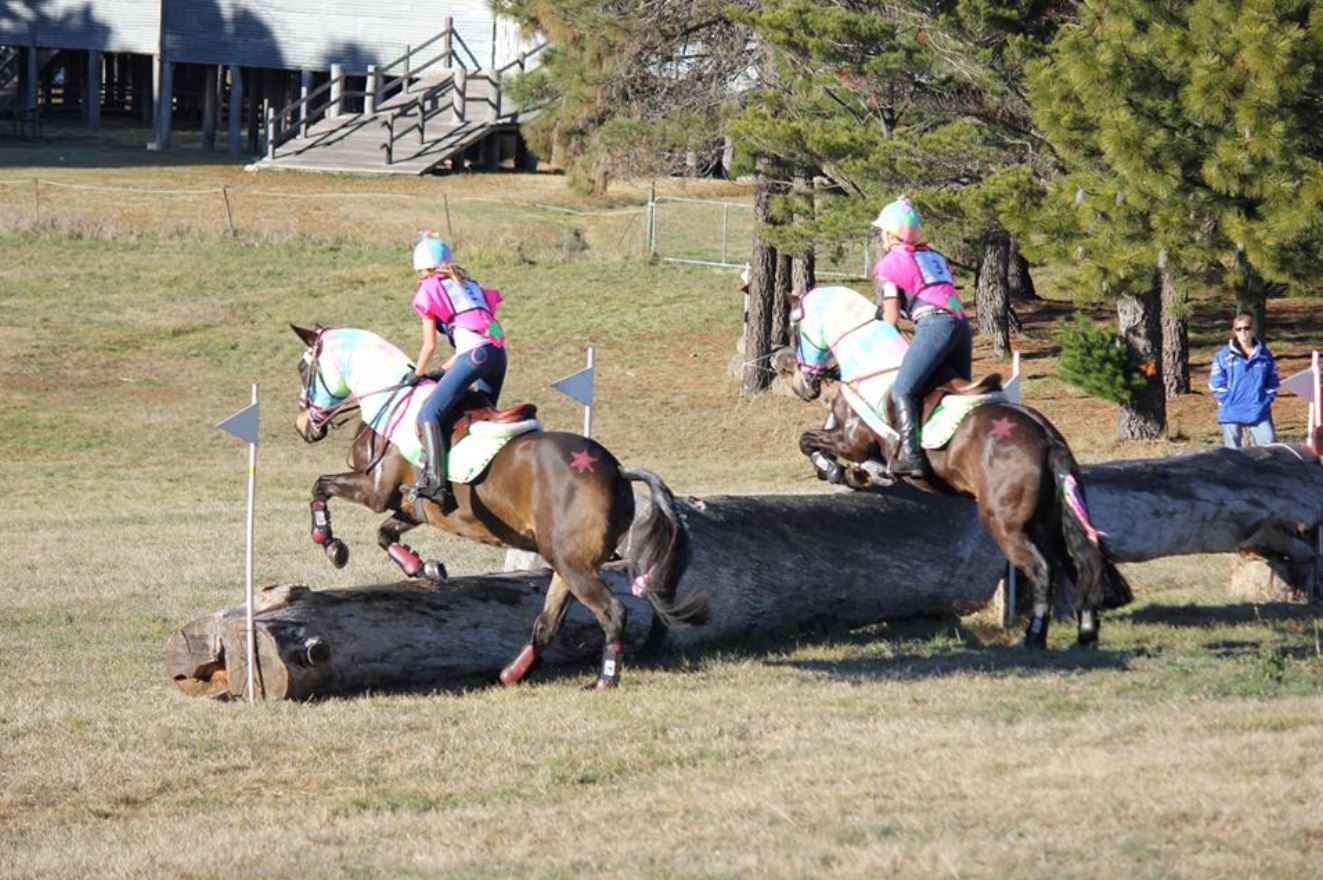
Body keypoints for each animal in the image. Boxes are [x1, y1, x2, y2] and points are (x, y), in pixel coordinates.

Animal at [291, 324, 709, 688]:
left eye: (303, 368)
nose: (303, 427)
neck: (388, 400)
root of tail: (617, 471)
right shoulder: (414, 507)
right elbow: (385, 533)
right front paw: (422, 566)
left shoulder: (375, 491)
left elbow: (321, 486)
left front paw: (329, 542)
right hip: (570, 561)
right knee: (556, 620)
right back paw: (512, 673)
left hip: (574, 564)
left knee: (613, 611)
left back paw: (605, 680)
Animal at [781, 286, 1132, 648]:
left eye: (793, 329)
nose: (802, 386)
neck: (868, 362)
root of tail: (1046, 438)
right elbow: (815, 442)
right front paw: (855, 472)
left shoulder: (851, 440)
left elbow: (808, 441)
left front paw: (841, 471)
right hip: (1048, 519)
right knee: (1077, 562)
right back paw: (1086, 633)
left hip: (1004, 522)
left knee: (1042, 569)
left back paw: (1035, 635)